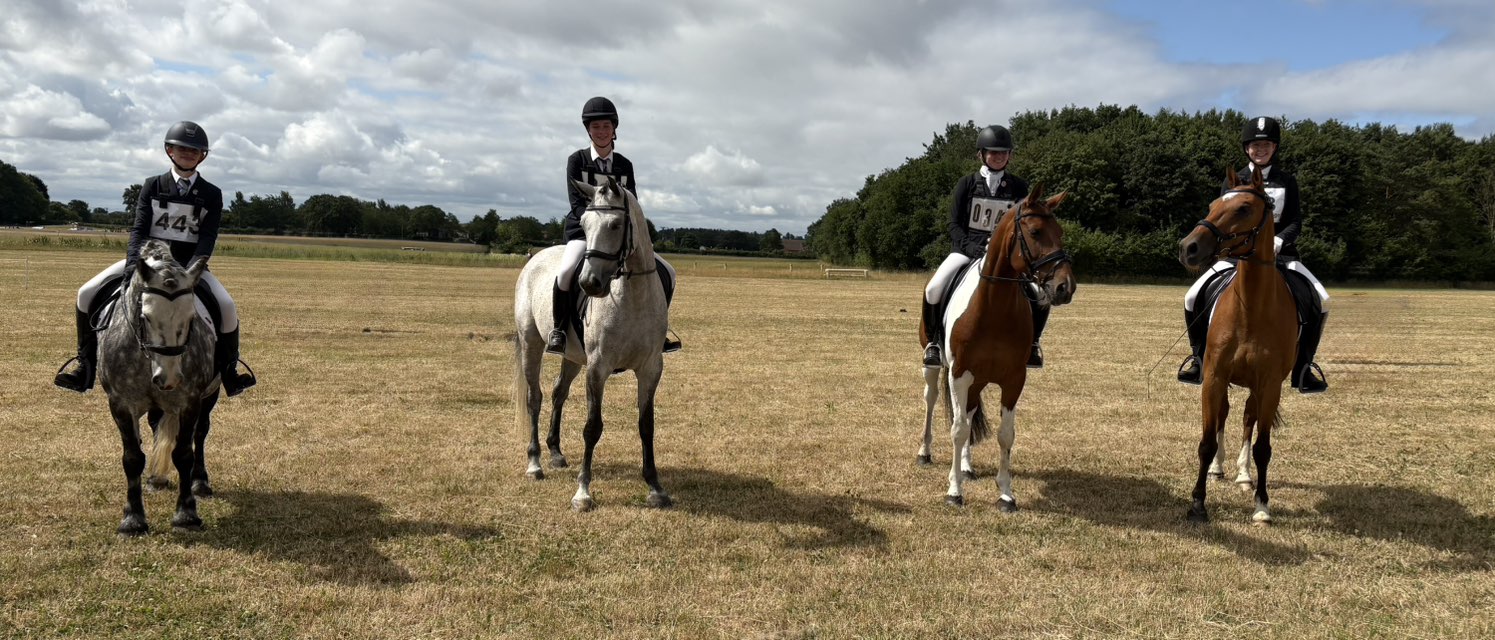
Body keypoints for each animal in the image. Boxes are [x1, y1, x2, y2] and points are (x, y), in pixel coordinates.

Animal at [96, 239, 220, 534]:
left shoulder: (190, 401)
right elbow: (132, 457)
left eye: (191, 318)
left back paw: (200, 482)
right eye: (146, 317)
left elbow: (184, 453)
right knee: (154, 426)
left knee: (201, 433)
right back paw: (155, 479)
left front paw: (186, 514)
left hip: (210, 395)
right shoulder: (120, 404)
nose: (169, 378)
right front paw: (133, 518)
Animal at [513, 176, 671, 511]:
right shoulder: (598, 368)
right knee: (535, 397)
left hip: (573, 356)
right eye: (584, 224)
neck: (631, 296)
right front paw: (583, 492)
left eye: (615, 224)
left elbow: (646, 424)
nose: (588, 284)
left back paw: (556, 452)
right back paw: (535, 463)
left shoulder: (651, 368)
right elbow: (592, 427)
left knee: (558, 392)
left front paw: (655, 487)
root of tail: (536, 257)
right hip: (531, 343)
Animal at [919, 184, 1075, 509]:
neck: (994, 307)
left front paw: (1005, 493)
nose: (1065, 287)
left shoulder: (1014, 378)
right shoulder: (959, 374)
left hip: (977, 381)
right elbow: (957, 430)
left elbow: (1005, 434)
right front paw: (954, 491)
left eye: (1061, 232)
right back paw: (925, 453)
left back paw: (967, 466)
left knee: (969, 411)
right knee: (931, 399)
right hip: (937, 368)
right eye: (1035, 232)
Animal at [1177, 167, 1297, 524]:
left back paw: (1244, 476)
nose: (1188, 247)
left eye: (1244, 208)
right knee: (1225, 416)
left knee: (1247, 419)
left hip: (1258, 389)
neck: (1252, 308)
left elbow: (1262, 447)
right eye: (1214, 204)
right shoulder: (1214, 378)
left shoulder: (1270, 385)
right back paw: (1219, 469)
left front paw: (1262, 506)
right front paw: (1198, 503)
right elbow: (1206, 440)